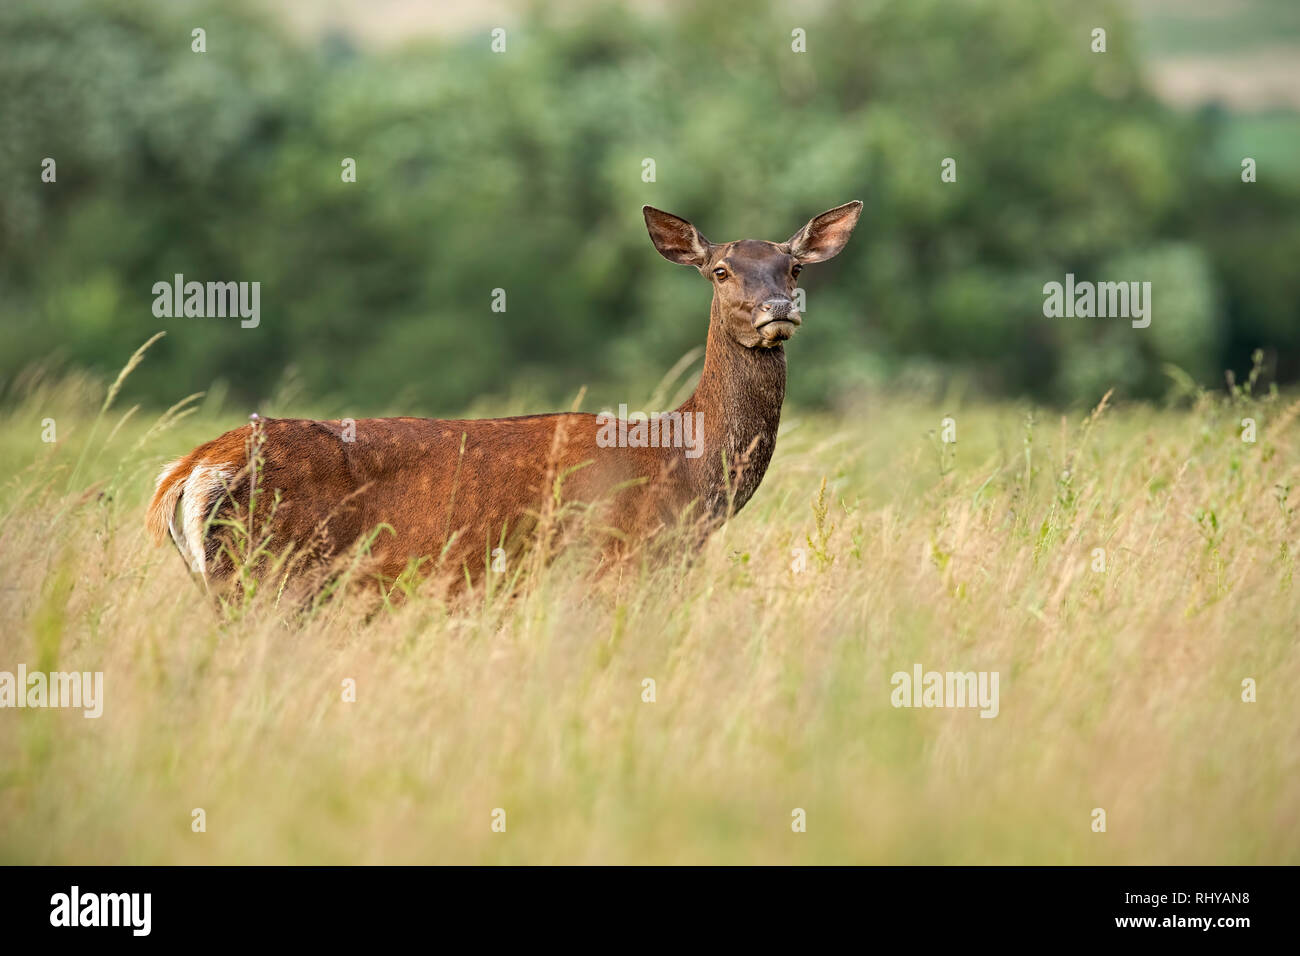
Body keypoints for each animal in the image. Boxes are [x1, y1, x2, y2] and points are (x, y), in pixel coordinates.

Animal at [146, 201, 862, 599]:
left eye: (794, 266)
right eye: (720, 270)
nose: (778, 307)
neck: (687, 472)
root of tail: (191, 470)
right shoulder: (614, 565)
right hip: (263, 575)